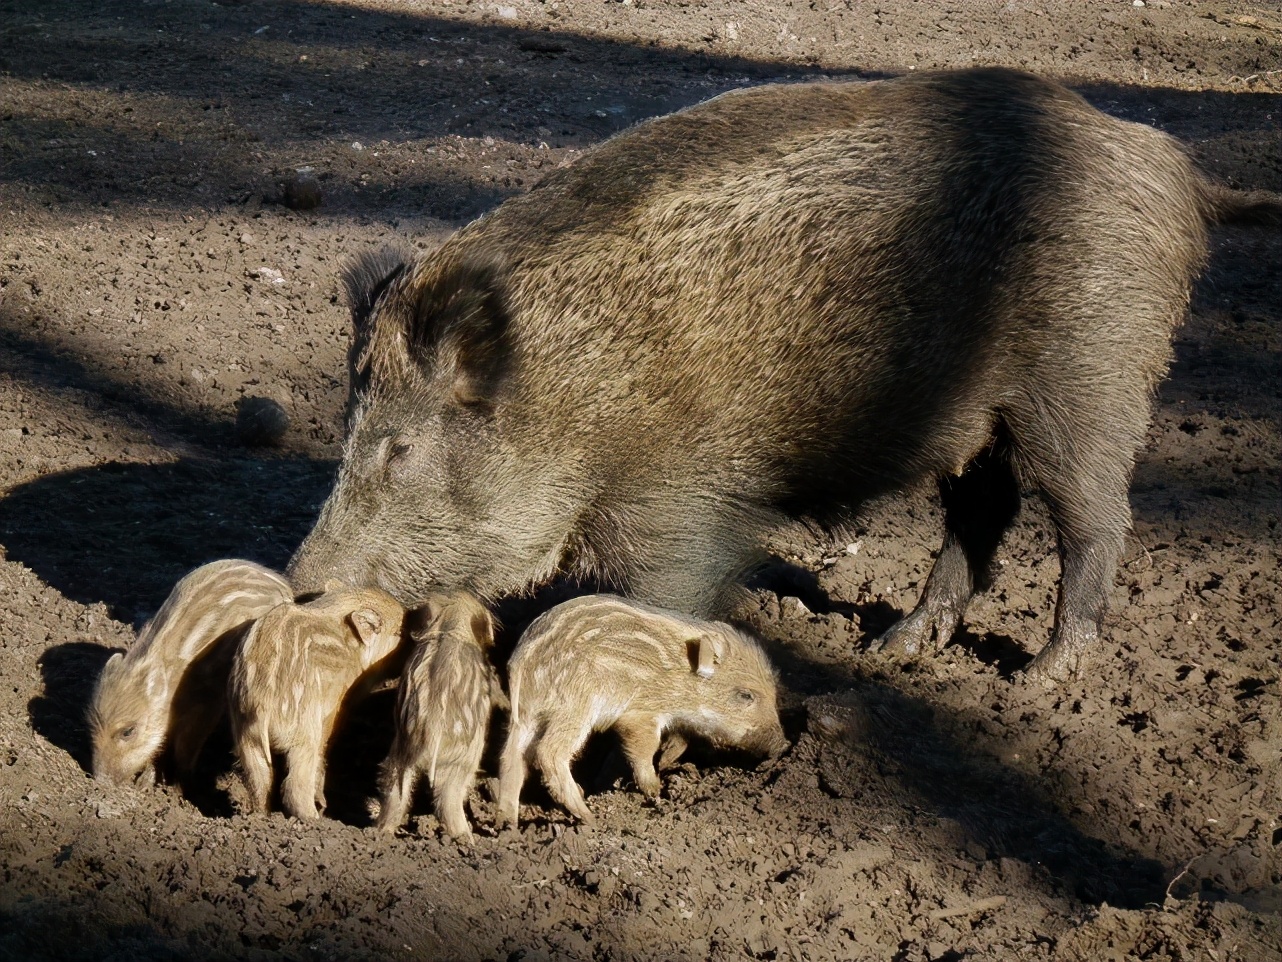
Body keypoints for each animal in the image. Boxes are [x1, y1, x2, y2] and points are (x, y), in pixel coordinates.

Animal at [88, 559, 294, 787]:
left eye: (128, 731)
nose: (99, 781)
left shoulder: (207, 701)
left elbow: (187, 744)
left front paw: (178, 782)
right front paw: (147, 781)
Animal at [227, 586, 405, 819]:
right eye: (398, 632)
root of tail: (261, 705)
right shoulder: (333, 711)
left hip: (247, 737)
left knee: (260, 781)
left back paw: (262, 815)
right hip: (304, 734)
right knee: (296, 784)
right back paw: (314, 818)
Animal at [287, 67, 1282, 684]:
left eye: (401, 447)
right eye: (346, 425)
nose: (300, 580)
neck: (571, 393)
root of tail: (1173, 169)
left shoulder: (674, 499)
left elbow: (665, 597)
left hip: (1090, 380)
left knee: (1096, 518)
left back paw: (1040, 677)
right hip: (981, 419)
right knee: (981, 516)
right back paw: (895, 648)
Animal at [375, 591, 506, 840]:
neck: (450, 628)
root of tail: (431, 734)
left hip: (400, 756)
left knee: (395, 794)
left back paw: (381, 832)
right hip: (462, 760)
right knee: (449, 801)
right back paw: (468, 840)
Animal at [495, 594, 787, 826]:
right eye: (745, 695)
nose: (784, 744)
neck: (682, 678)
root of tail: (522, 661)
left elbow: (679, 741)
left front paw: (666, 763)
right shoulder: (640, 715)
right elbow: (644, 749)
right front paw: (655, 791)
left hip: (527, 717)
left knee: (512, 758)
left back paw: (508, 826)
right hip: (574, 708)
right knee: (548, 752)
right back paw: (589, 818)